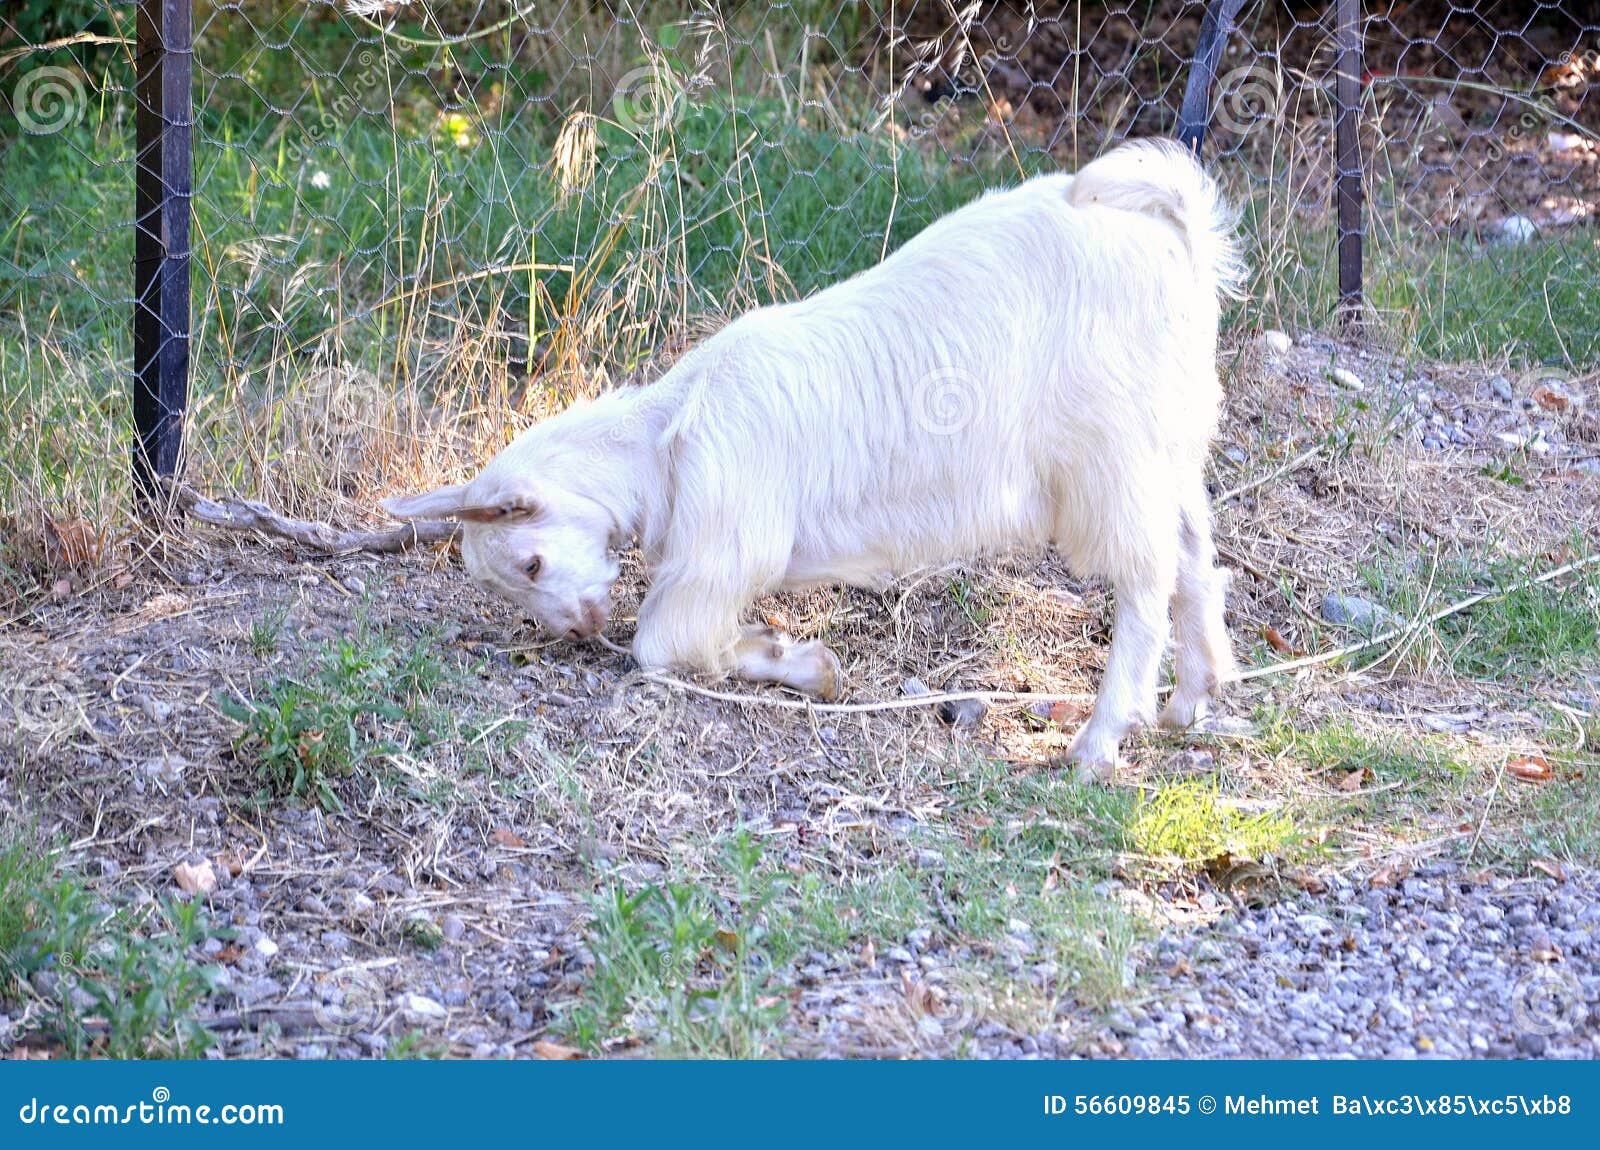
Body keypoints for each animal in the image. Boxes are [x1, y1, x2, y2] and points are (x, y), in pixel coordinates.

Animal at [383, 139, 1245, 781]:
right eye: (512, 585)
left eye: (529, 562)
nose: (575, 628)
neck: (666, 440)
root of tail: (1173, 232)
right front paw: (799, 660)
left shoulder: (724, 548)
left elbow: (662, 644)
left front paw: (792, 659)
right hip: (1170, 442)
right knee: (1197, 558)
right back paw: (1192, 699)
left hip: (1112, 457)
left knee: (1146, 582)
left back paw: (1100, 742)